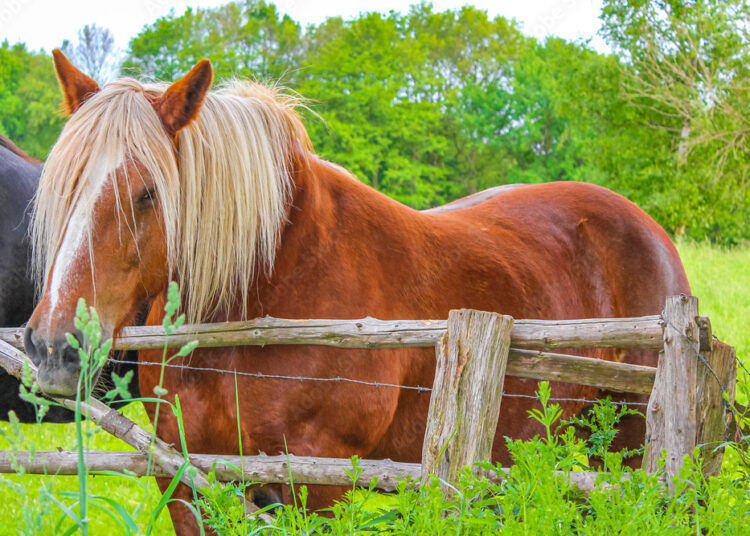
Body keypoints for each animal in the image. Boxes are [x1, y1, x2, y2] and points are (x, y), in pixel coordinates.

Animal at [25, 51, 689, 534]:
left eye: (147, 194)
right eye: (62, 185)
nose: (53, 348)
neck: (265, 295)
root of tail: (651, 229)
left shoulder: (317, 482)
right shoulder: (185, 479)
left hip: (628, 447)